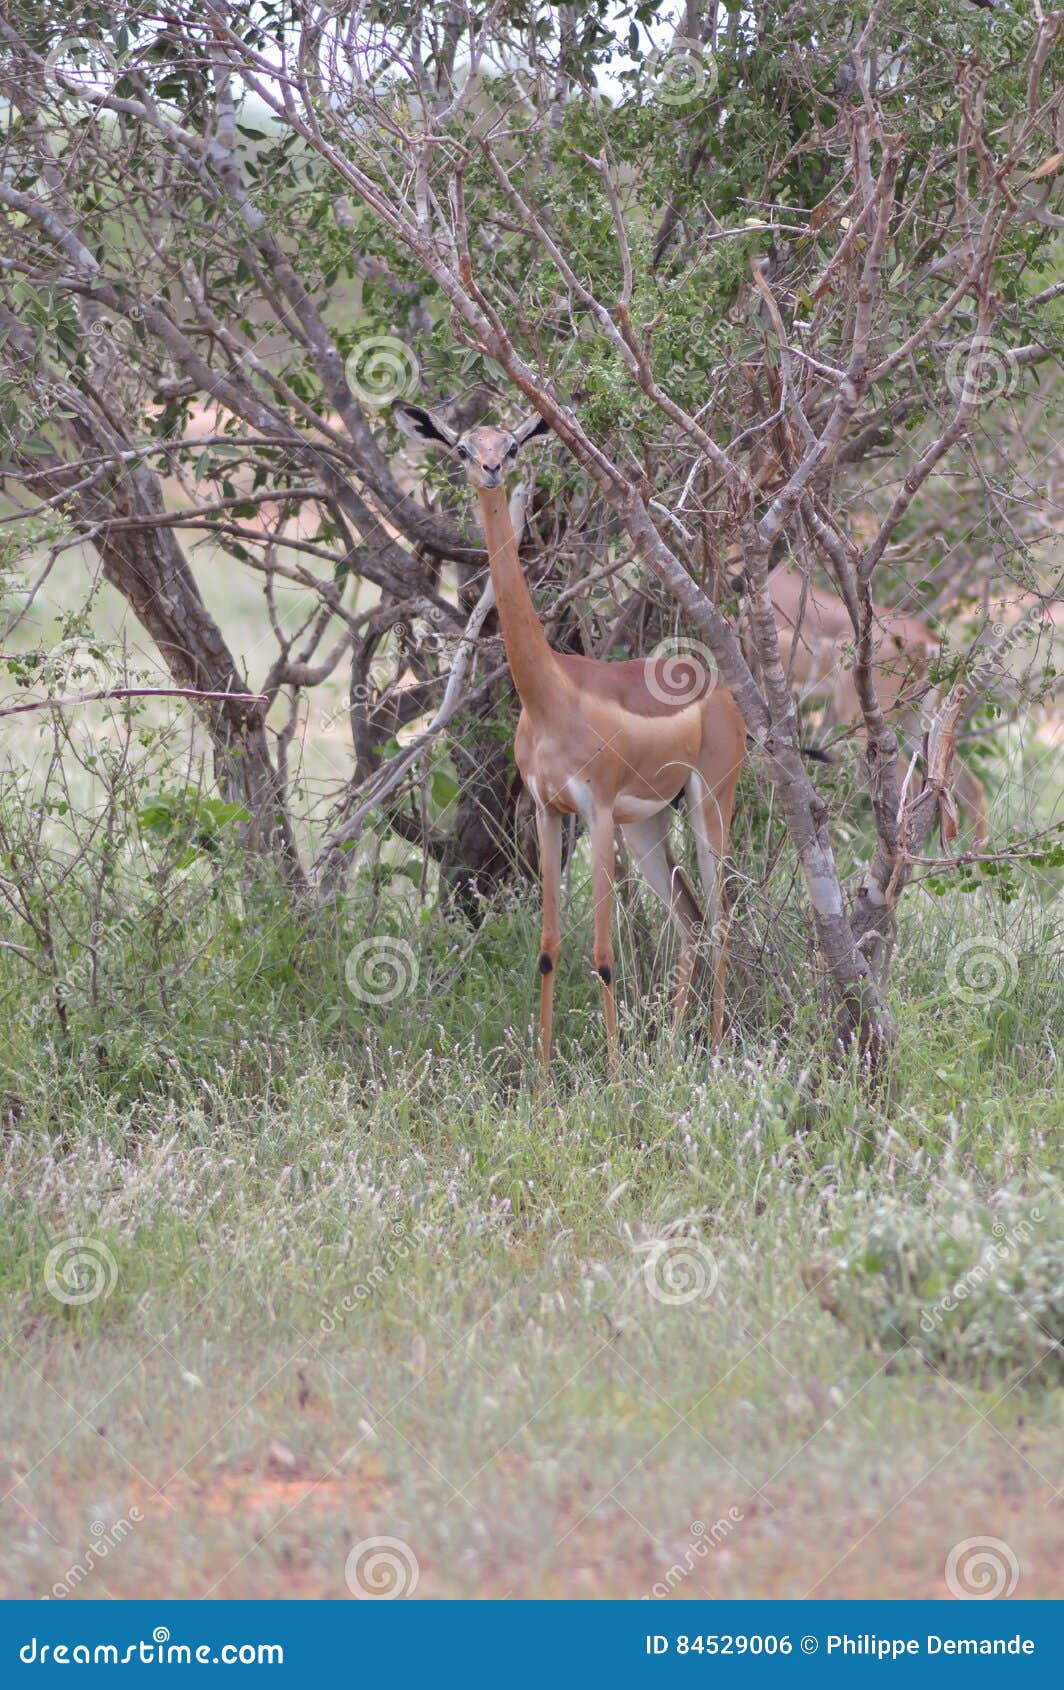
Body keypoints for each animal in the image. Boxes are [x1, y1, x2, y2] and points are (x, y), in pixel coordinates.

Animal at [395, 402, 746, 1079]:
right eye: (461, 446)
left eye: (509, 443)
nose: (490, 469)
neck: (549, 696)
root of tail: (718, 692)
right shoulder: (547, 811)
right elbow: (549, 947)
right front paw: (539, 1085)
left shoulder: (597, 811)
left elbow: (605, 953)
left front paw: (612, 1084)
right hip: (649, 826)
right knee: (690, 921)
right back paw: (671, 1056)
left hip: (706, 807)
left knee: (719, 923)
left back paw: (713, 1057)